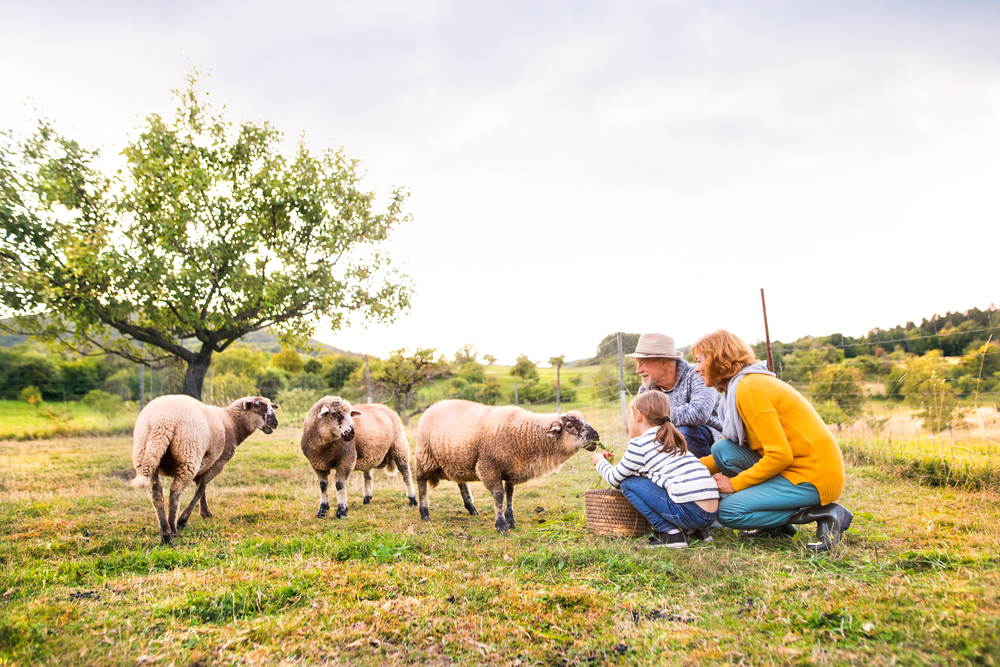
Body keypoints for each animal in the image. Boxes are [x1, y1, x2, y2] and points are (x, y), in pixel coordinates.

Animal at [129, 394, 279, 545]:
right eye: (258, 405)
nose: (275, 423)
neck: (232, 423)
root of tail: (161, 422)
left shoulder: (206, 463)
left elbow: (202, 489)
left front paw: (205, 513)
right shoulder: (218, 463)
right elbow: (201, 488)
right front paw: (185, 519)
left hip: (146, 456)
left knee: (157, 495)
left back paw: (165, 534)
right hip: (188, 457)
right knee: (175, 492)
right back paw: (174, 528)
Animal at [415, 399, 601, 532]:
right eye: (570, 425)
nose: (596, 436)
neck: (524, 434)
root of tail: (435, 405)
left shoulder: (512, 470)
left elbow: (510, 495)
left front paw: (511, 520)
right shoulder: (488, 467)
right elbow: (499, 496)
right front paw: (501, 524)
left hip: (458, 460)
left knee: (461, 482)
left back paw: (471, 508)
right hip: (425, 457)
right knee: (421, 481)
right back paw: (424, 512)